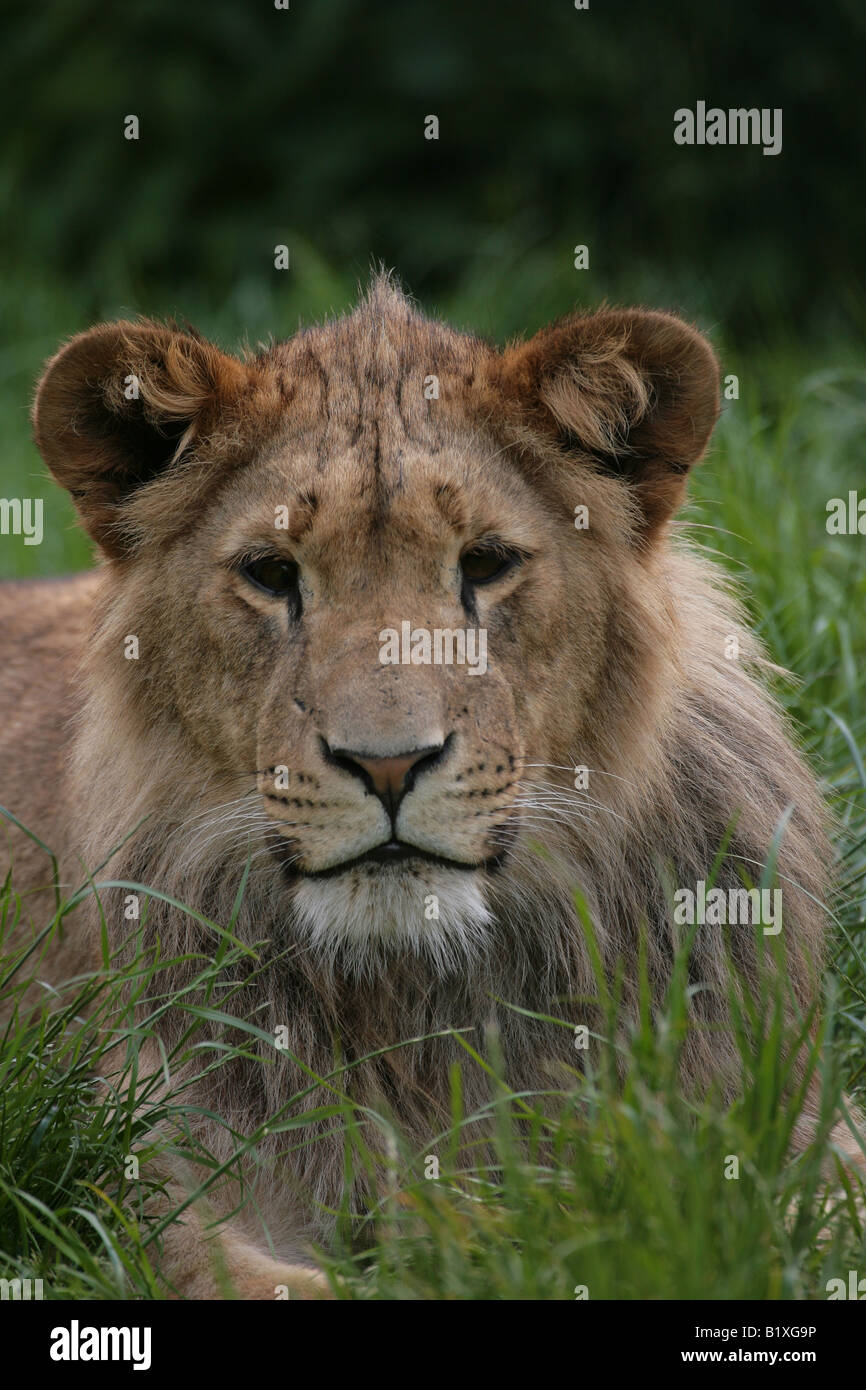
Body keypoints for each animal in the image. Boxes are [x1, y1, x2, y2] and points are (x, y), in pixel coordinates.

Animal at [0, 273, 854, 1298]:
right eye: (272, 574)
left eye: (484, 563)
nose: (387, 763)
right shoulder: (145, 1155)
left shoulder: (790, 1123)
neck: (423, 999)